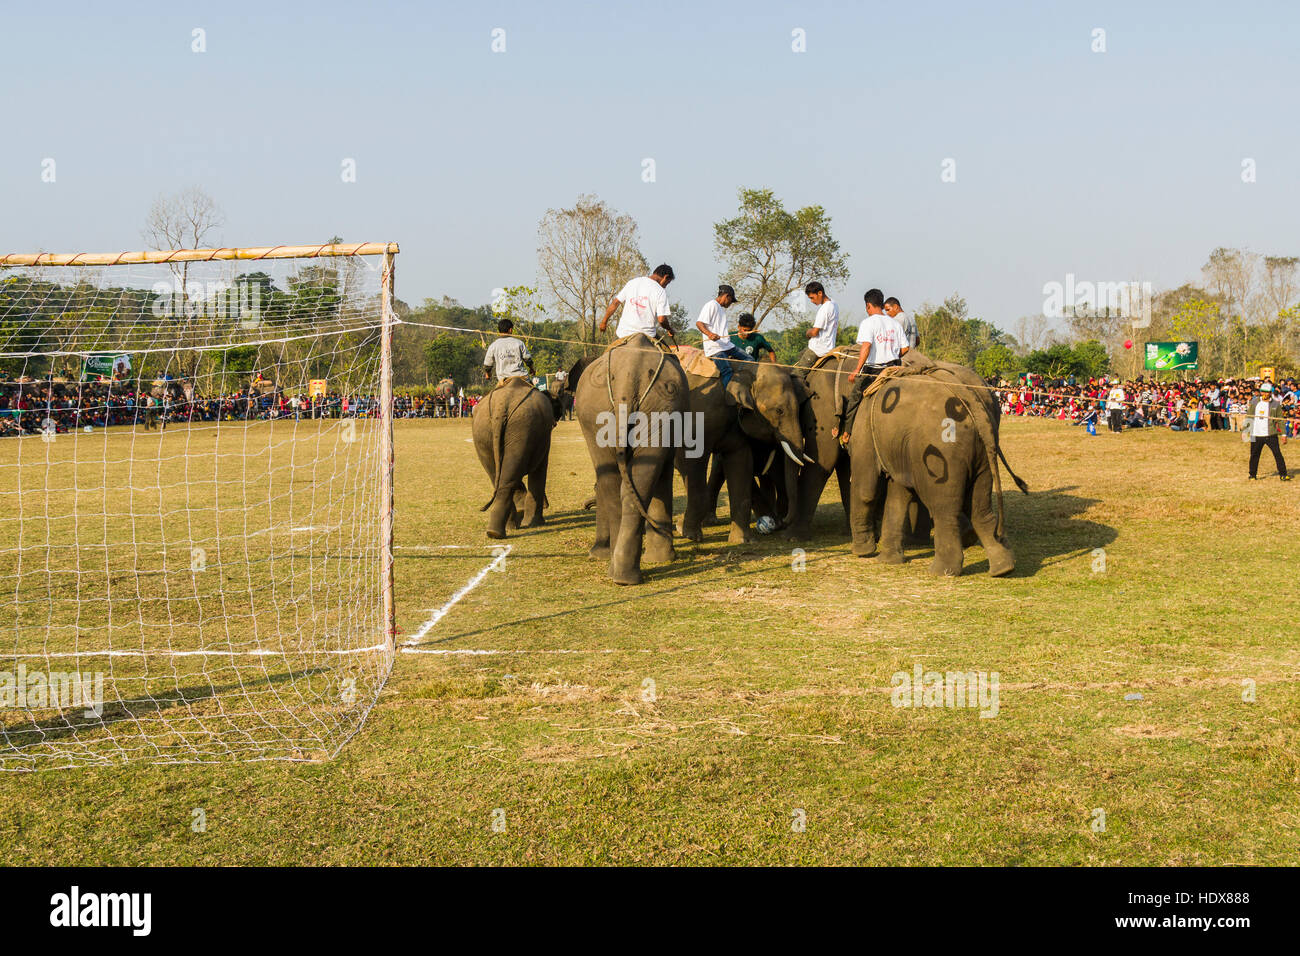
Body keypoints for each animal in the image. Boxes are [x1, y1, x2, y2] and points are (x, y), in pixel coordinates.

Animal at [472, 378, 559, 539]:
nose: (547, 505)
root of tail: (501, 407)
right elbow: (540, 467)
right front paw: (535, 523)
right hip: (522, 427)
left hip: (484, 432)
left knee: (498, 477)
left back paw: (497, 531)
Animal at [574, 333, 690, 585]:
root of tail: (630, 372)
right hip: (649, 407)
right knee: (627, 482)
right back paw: (624, 574)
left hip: (649, 408)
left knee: (616, 482)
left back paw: (622, 574)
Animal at [675, 351, 808, 543]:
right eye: (779, 411)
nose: (783, 521)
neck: (744, 370)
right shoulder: (700, 414)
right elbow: (692, 460)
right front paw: (690, 535)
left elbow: (741, 464)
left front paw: (743, 540)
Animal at [846, 352, 1027, 576]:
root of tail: (973, 400)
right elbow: (899, 494)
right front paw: (887, 561)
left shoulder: (864, 427)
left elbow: (866, 490)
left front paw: (863, 553)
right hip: (983, 452)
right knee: (980, 507)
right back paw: (1003, 568)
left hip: (942, 452)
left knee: (943, 507)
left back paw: (940, 571)